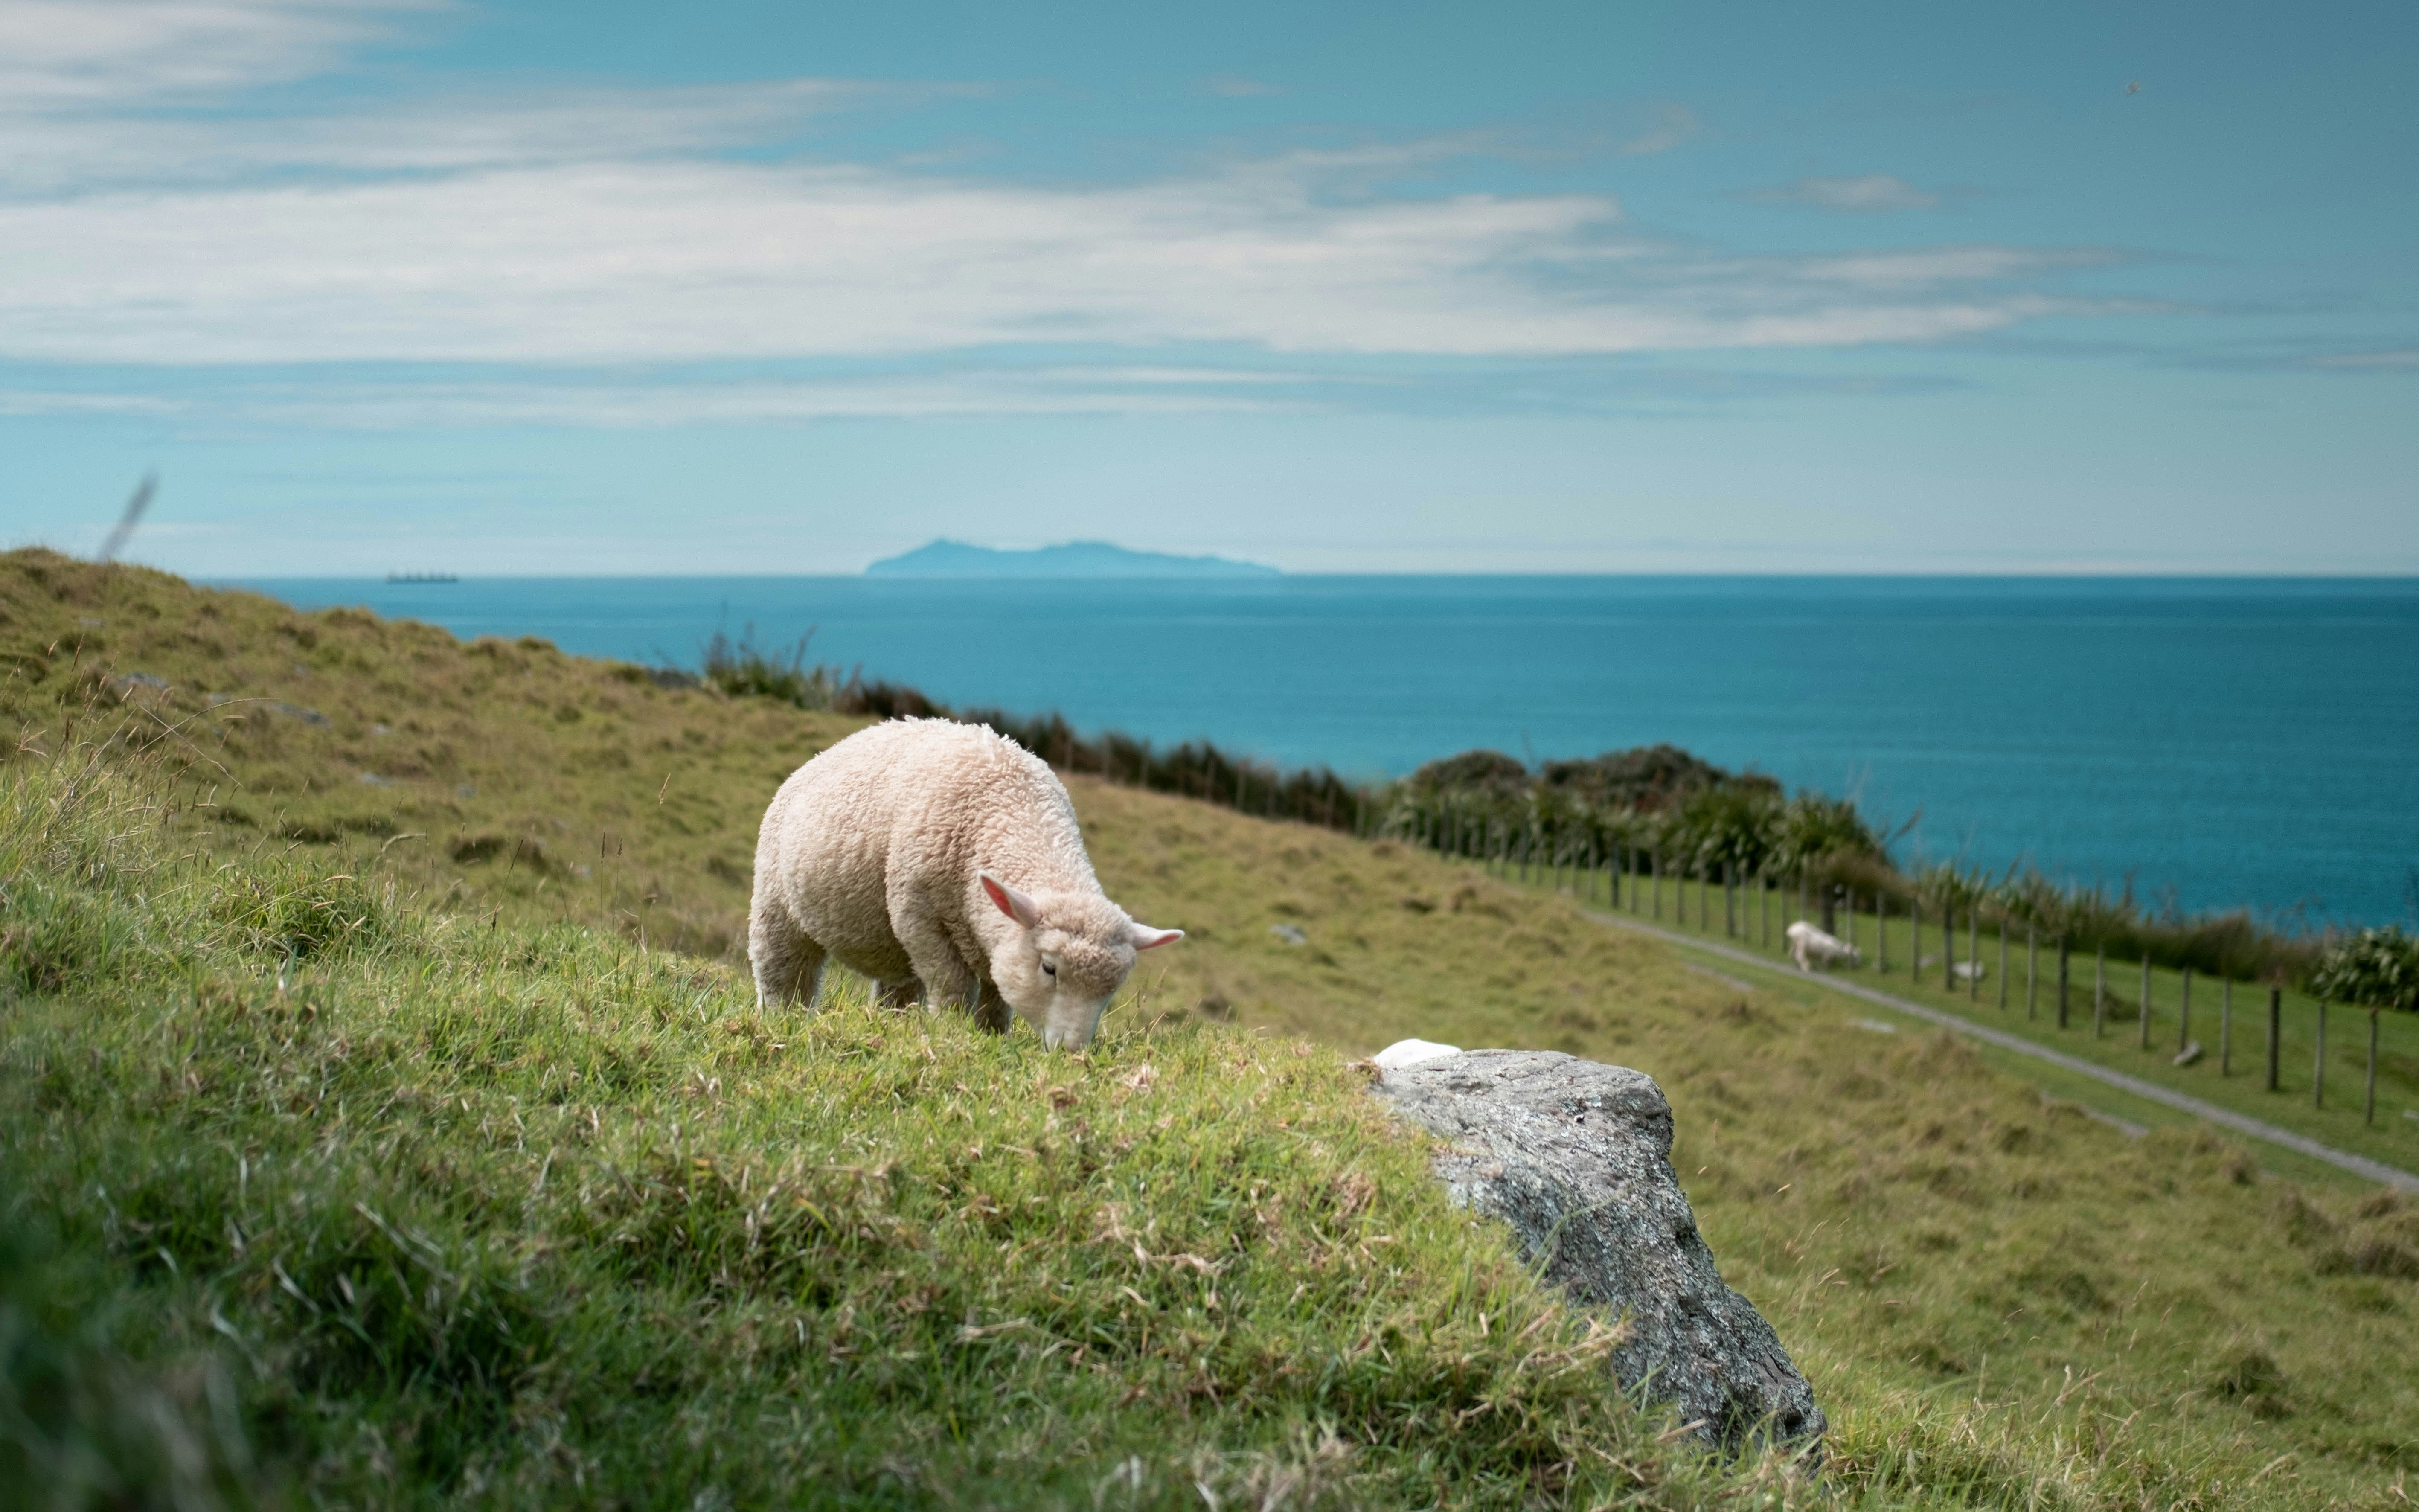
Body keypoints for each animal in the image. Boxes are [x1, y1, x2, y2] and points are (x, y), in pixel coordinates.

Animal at [748, 717, 1182, 1049]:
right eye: (1049, 968)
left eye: (1111, 990)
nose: (1072, 1051)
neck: (1010, 810)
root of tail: (825, 754)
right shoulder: (919, 915)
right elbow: (953, 985)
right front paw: (953, 1030)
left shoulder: (990, 934)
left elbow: (996, 997)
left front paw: (992, 1035)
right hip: (776, 903)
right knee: (783, 970)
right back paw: (784, 1015)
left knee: (898, 986)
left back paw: (893, 1021)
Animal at [1784, 920, 1861, 973]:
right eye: (1856, 956)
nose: (1858, 964)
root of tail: (1791, 930)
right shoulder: (1826, 956)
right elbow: (1824, 964)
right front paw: (1823, 970)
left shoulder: (1818, 955)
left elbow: (1817, 961)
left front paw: (1817, 967)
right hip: (1801, 944)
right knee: (1799, 956)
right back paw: (1806, 968)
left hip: (1794, 943)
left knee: (1791, 954)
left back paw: (1795, 964)